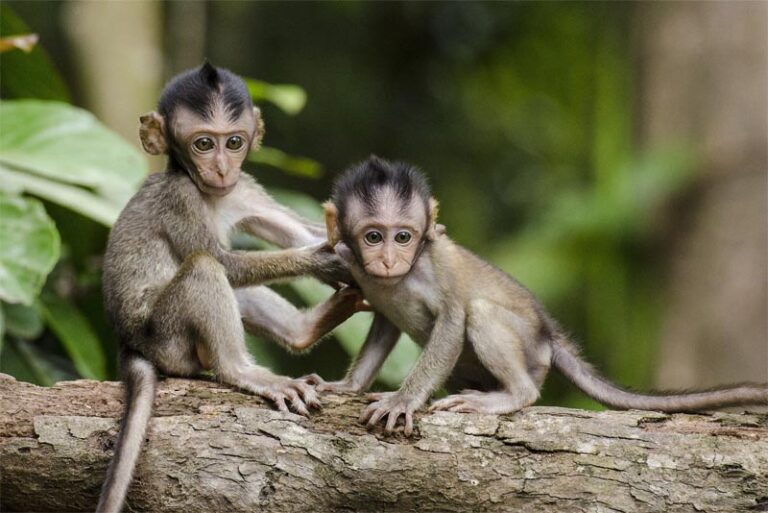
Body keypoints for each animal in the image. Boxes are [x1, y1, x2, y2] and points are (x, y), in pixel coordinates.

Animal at [97, 63, 365, 513]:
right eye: (203, 144)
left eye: (234, 142)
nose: (222, 168)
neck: (209, 193)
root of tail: (129, 342)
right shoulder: (180, 197)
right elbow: (223, 262)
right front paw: (324, 260)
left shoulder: (244, 188)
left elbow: (298, 231)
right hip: (167, 338)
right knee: (205, 269)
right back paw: (242, 370)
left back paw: (304, 329)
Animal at [306, 156, 768, 437]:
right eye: (373, 237)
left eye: (403, 237)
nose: (388, 260)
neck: (396, 278)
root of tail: (549, 335)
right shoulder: (356, 268)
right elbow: (384, 323)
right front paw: (346, 386)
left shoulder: (434, 266)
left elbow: (453, 319)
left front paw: (403, 399)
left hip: (530, 351)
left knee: (481, 313)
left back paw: (514, 395)